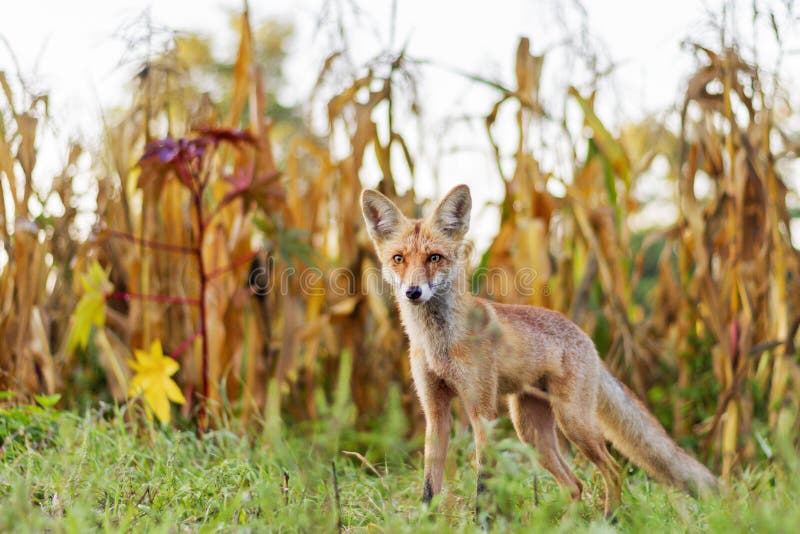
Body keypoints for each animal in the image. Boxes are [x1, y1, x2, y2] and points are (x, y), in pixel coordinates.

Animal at [360, 184, 718, 518]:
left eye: (434, 257)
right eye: (398, 258)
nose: (413, 292)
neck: (439, 344)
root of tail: (585, 336)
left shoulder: (481, 411)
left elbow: (484, 484)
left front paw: (485, 523)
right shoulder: (435, 411)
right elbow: (429, 487)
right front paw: (427, 522)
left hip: (573, 422)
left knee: (613, 471)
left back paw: (611, 519)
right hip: (532, 431)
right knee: (575, 485)